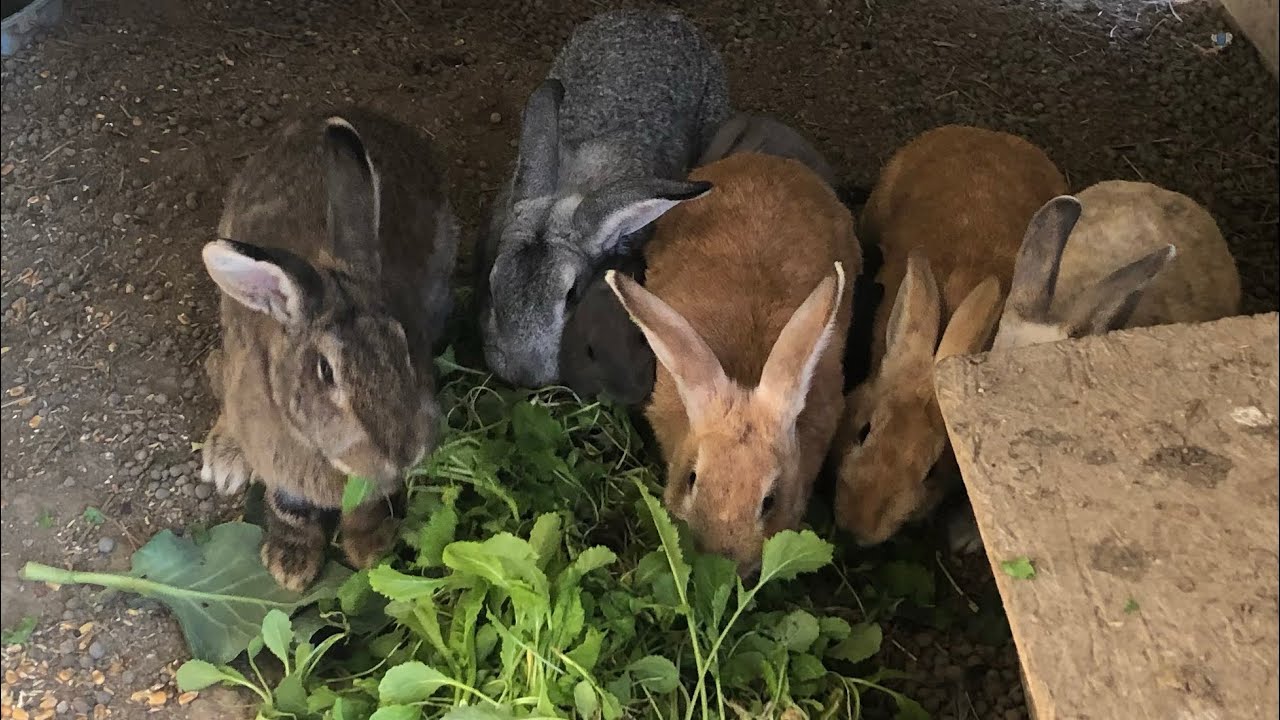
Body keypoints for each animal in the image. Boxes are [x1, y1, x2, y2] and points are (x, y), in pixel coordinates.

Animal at [199, 109, 458, 591]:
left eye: (403, 342)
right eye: (324, 371)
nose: (405, 453)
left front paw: (370, 548)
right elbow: (290, 504)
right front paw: (289, 564)